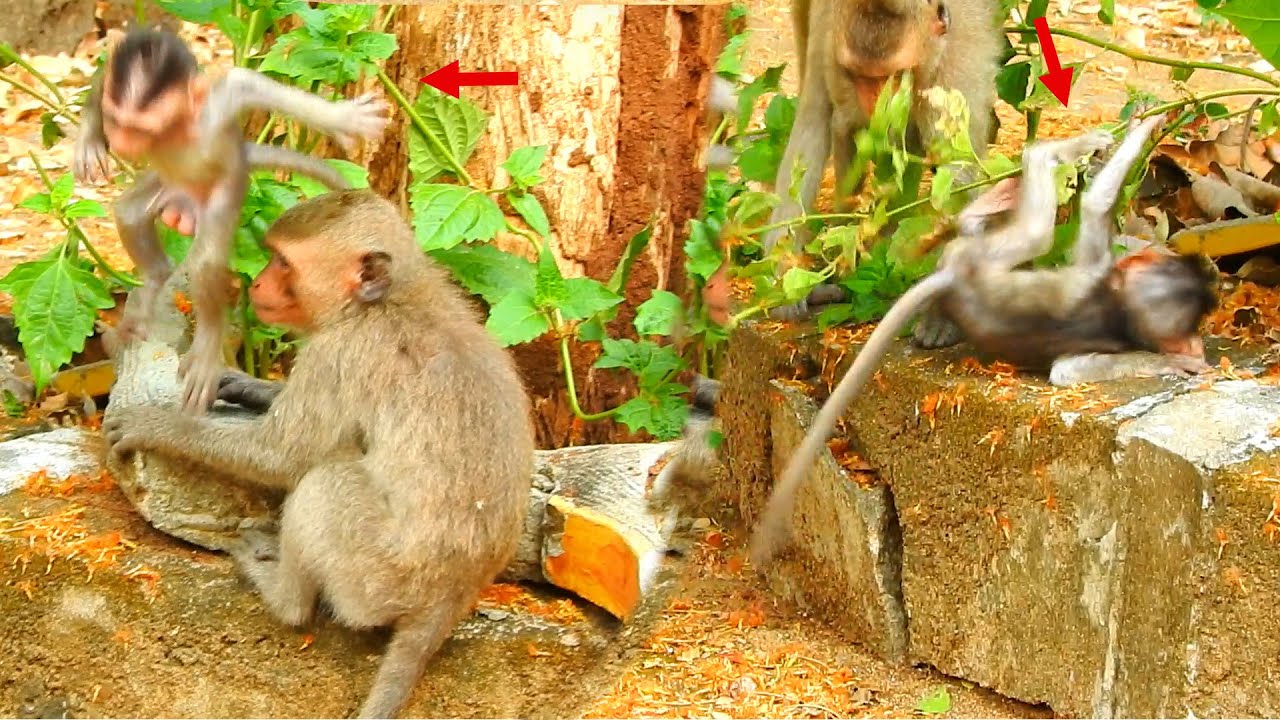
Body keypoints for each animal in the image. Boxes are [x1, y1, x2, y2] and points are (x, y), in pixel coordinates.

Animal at [74, 28, 390, 416]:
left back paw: (205, 346)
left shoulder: (211, 119)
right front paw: (89, 140)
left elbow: (242, 83)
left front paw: (341, 118)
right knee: (130, 214)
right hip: (165, 185)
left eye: (138, 128)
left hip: (228, 188)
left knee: (206, 262)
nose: (118, 141)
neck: (172, 133)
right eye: (115, 120)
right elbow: (105, 76)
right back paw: (156, 276)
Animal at [102, 189, 534, 719]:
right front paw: (245, 385)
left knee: (325, 485)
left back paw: (280, 595)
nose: (258, 282)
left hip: (377, 578)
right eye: (271, 256)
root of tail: (450, 596)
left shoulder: (337, 355)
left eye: (284, 262)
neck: (379, 303)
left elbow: (280, 457)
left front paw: (157, 427)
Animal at [747, 112, 1219, 567]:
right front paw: (1147, 126)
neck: (1120, 312)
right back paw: (1042, 162)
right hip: (989, 255)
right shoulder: (1097, 272)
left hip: (980, 256)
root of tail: (955, 277)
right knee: (1036, 231)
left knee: (1017, 232)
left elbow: (1068, 371)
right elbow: (1095, 208)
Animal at [763, 0, 1002, 321]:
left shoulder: (959, 65)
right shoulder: (833, 48)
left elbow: (958, 176)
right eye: (862, 76)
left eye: (896, 74)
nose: (879, 104)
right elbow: (831, 125)